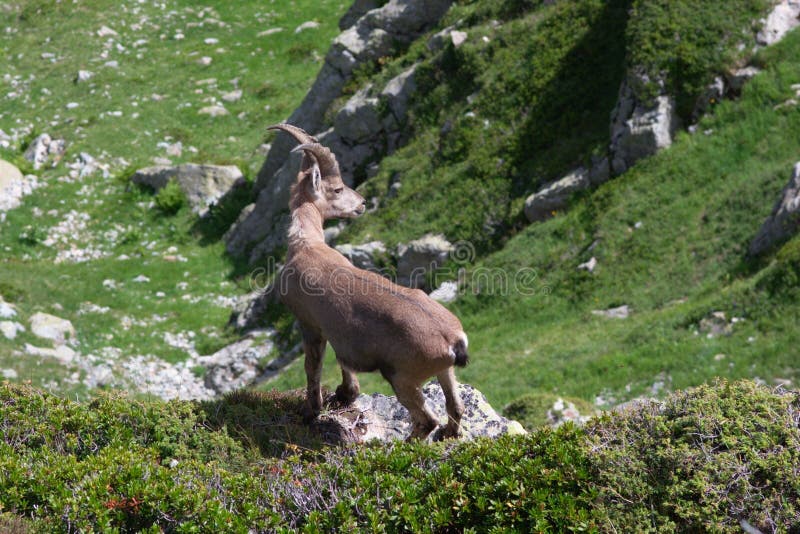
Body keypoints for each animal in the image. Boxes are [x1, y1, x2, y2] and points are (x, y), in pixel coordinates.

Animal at [269, 123, 469, 440]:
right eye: (338, 188)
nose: (361, 203)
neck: (307, 244)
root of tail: (454, 341)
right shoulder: (337, 333)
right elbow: (343, 361)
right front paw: (345, 394)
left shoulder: (310, 324)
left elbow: (313, 368)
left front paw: (311, 411)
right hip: (443, 371)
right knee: (455, 407)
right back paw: (448, 434)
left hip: (402, 376)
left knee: (426, 420)